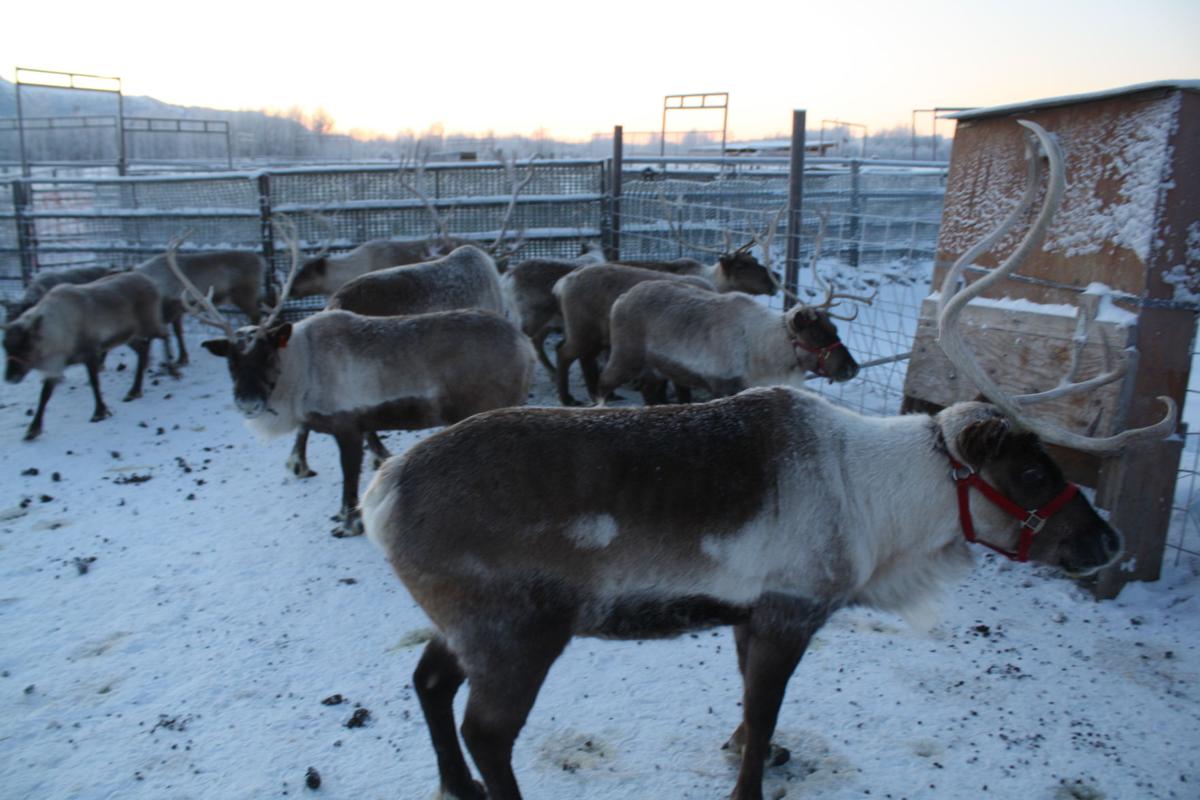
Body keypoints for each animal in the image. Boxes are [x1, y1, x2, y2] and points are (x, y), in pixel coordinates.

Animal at [4, 272, 167, 441]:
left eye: (26, 346)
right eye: (5, 347)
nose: (10, 377)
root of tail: (151, 282)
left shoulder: (91, 352)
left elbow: (95, 384)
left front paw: (99, 412)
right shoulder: (56, 366)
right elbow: (44, 396)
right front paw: (33, 430)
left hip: (149, 324)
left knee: (164, 334)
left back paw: (171, 366)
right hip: (129, 336)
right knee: (143, 348)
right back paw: (134, 390)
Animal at [178, 231, 535, 536]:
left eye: (267, 354)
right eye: (231, 360)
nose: (248, 403)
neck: (302, 365)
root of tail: (523, 344)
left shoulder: (348, 426)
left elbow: (349, 480)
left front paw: (349, 524)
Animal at [358, 120, 1176, 800]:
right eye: (1033, 473)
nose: (1106, 541)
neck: (880, 509)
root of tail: (381, 493)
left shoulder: (747, 615)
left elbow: (752, 722)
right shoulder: (791, 610)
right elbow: (764, 722)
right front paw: (749, 779)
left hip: (463, 626)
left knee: (427, 681)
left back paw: (455, 787)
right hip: (514, 632)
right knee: (485, 731)